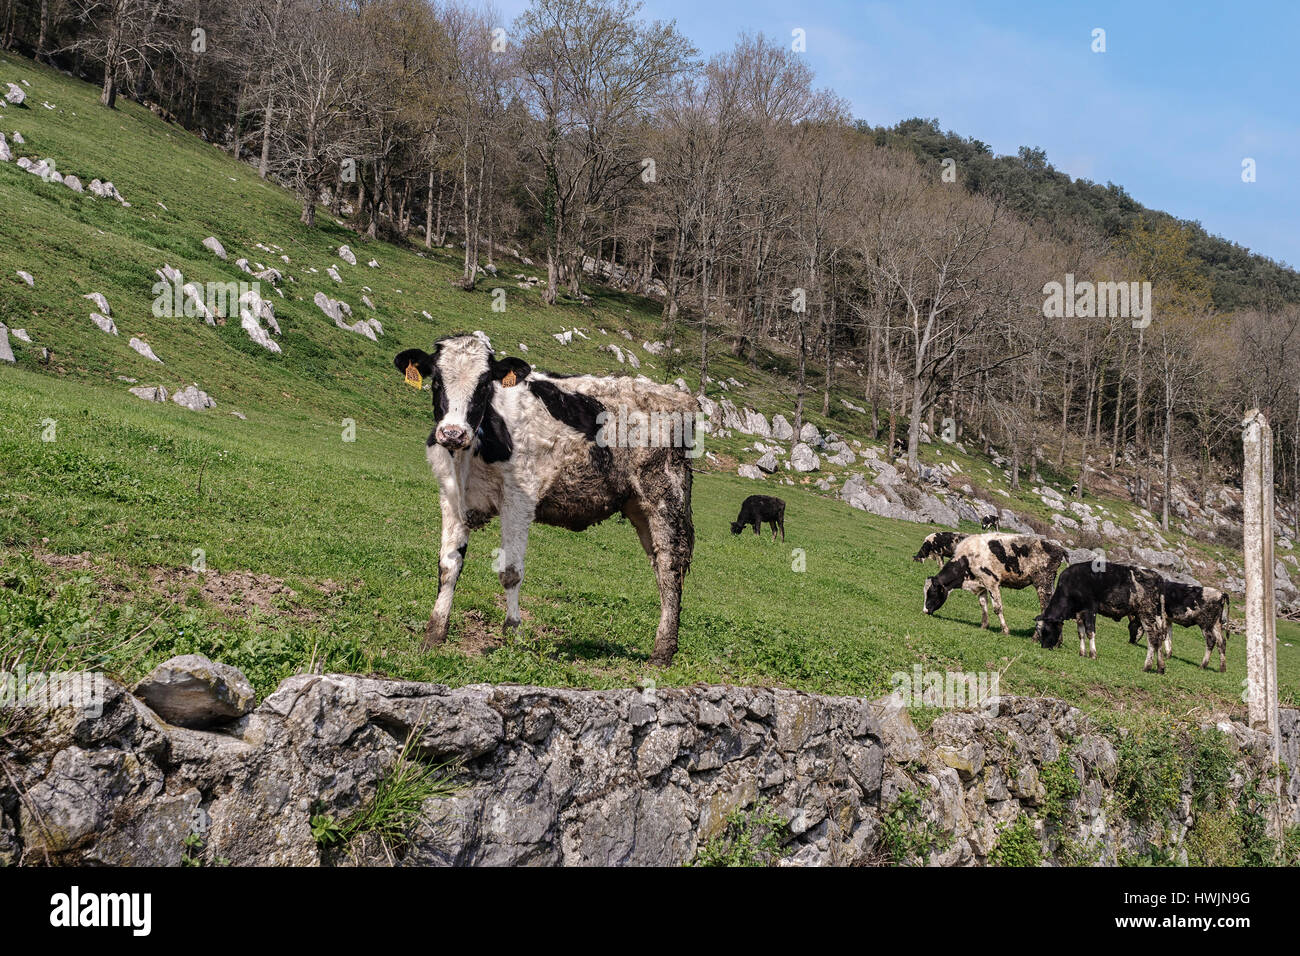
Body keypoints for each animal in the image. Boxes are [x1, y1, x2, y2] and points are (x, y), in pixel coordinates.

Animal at [394, 334, 700, 666]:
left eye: (485, 384)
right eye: (436, 381)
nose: (452, 433)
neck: (469, 454)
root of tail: (679, 397)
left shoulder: (519, 499)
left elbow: (510, 572)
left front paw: (513, 635)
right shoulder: (451, 496)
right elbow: (448, 567)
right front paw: (434, 635)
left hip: (664, 494)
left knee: (670, 565)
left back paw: (663, 651)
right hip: (637, 505)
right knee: (657, 563)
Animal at [923, 534, 1068, 634]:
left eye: (932, 592)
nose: (925, 611)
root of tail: (1059, 548)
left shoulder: (992, 583)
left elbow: (997, 608)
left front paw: (1005, 630)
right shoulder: (981, 585)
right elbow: (983, 604)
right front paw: (984, 625)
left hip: (1043, 582)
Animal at [1034, 562, 1170, 671]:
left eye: (1046, 630)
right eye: (1038, 631)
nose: (1044, 647)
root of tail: (1158, 577)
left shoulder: (1090, 609)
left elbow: (1090, 632)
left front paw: (1093, 654)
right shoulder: (1079, 613)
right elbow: (1081, 633)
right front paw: (1082, 653)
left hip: (1146, 612)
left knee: (1152, 638)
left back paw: (1147, 666)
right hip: (1157, 616)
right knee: (1160, 636)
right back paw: (1160, 667)